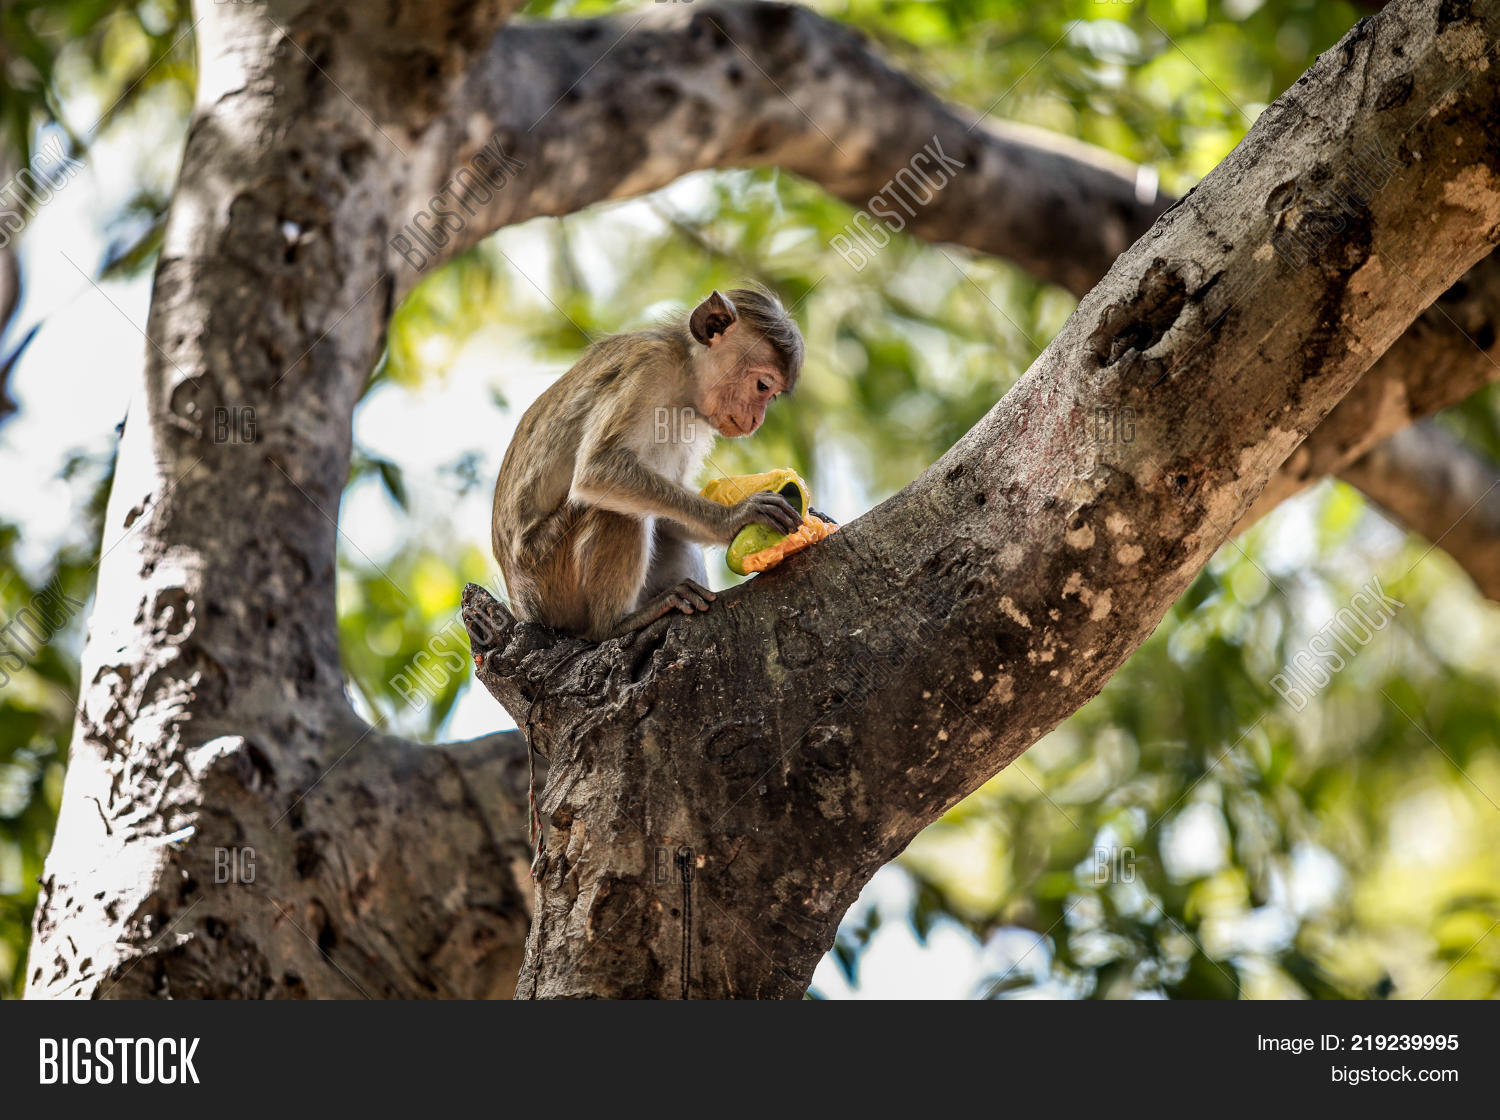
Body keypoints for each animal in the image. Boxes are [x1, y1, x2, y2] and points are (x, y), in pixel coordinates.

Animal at [491, 286, 805, 642]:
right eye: (763, 386)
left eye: (772, 394)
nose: (756, 421)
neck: (684, 377)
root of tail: (522, 606)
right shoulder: (650, 370)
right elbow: (597, 470)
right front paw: (734, 518)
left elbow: (671, 507)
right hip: (547, 578)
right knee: (611, 510)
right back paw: (615, 623)